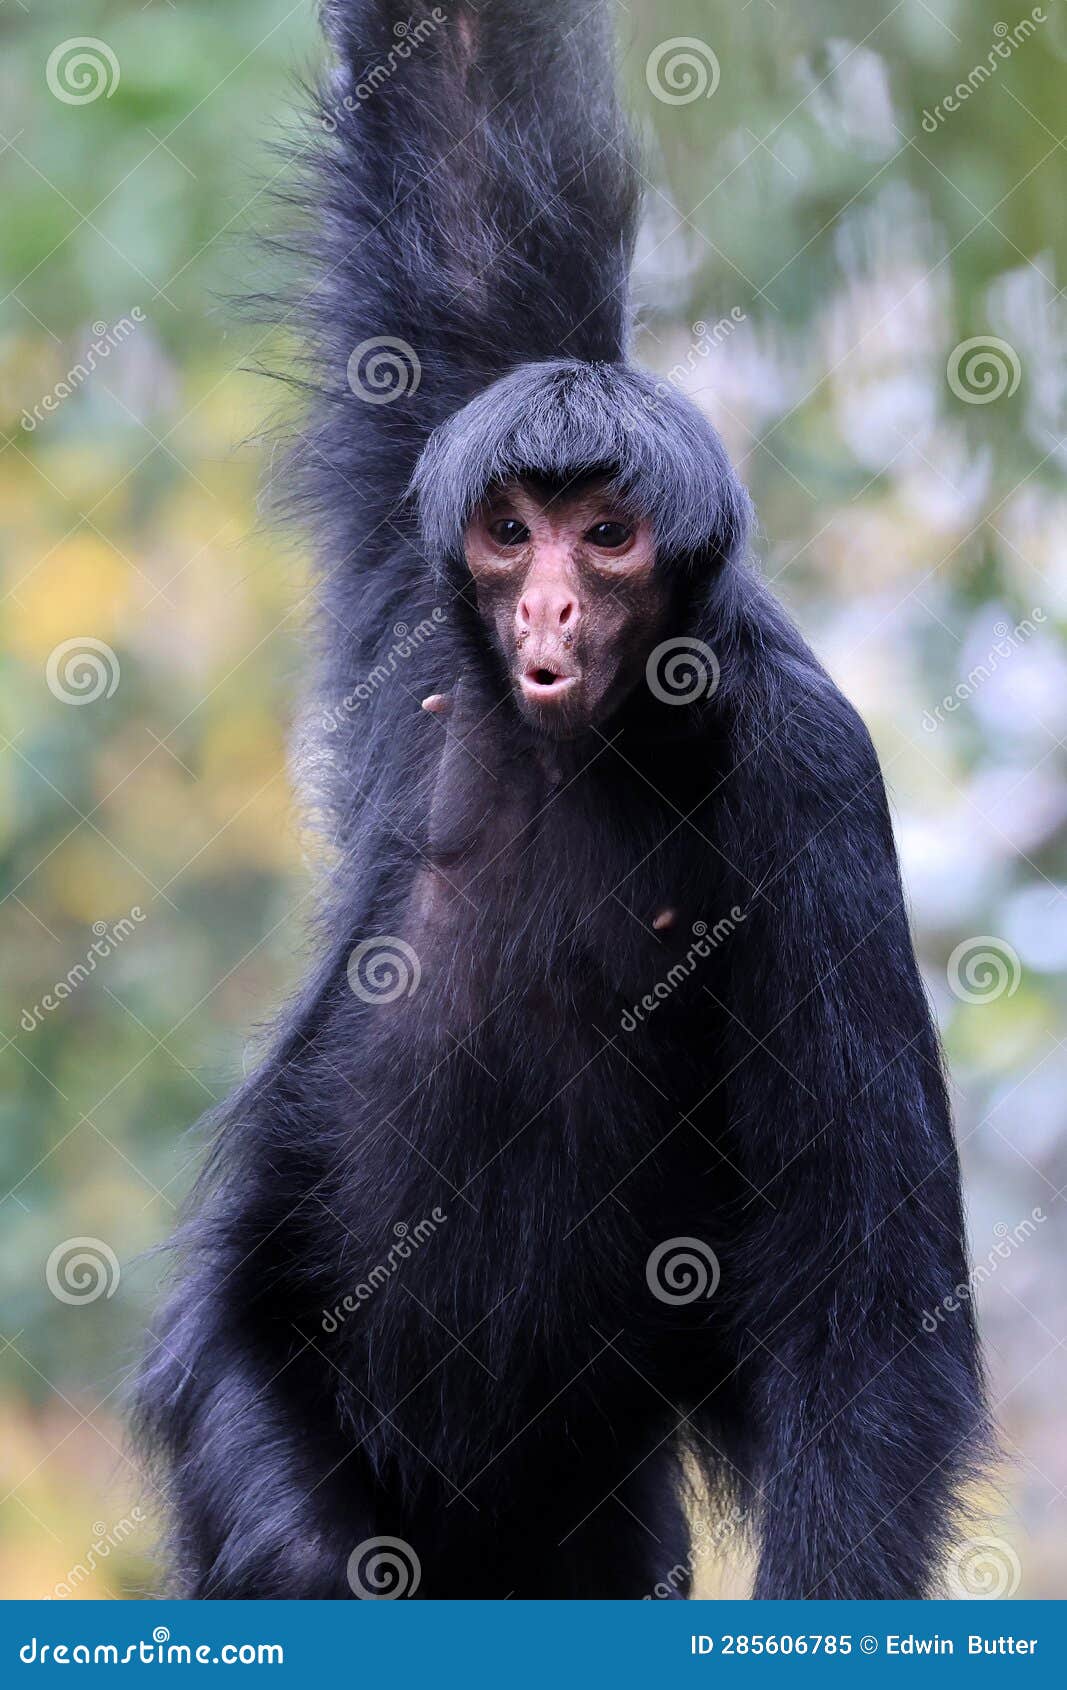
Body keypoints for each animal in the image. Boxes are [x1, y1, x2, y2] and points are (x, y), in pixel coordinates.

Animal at [134, 0, 988, 1599]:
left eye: (605, 535)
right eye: (507, 525)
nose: (542, 607)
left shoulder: (811, 772)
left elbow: (867, 1321)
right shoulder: (425, 583)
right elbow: (469, 125)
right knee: (301, 1531)